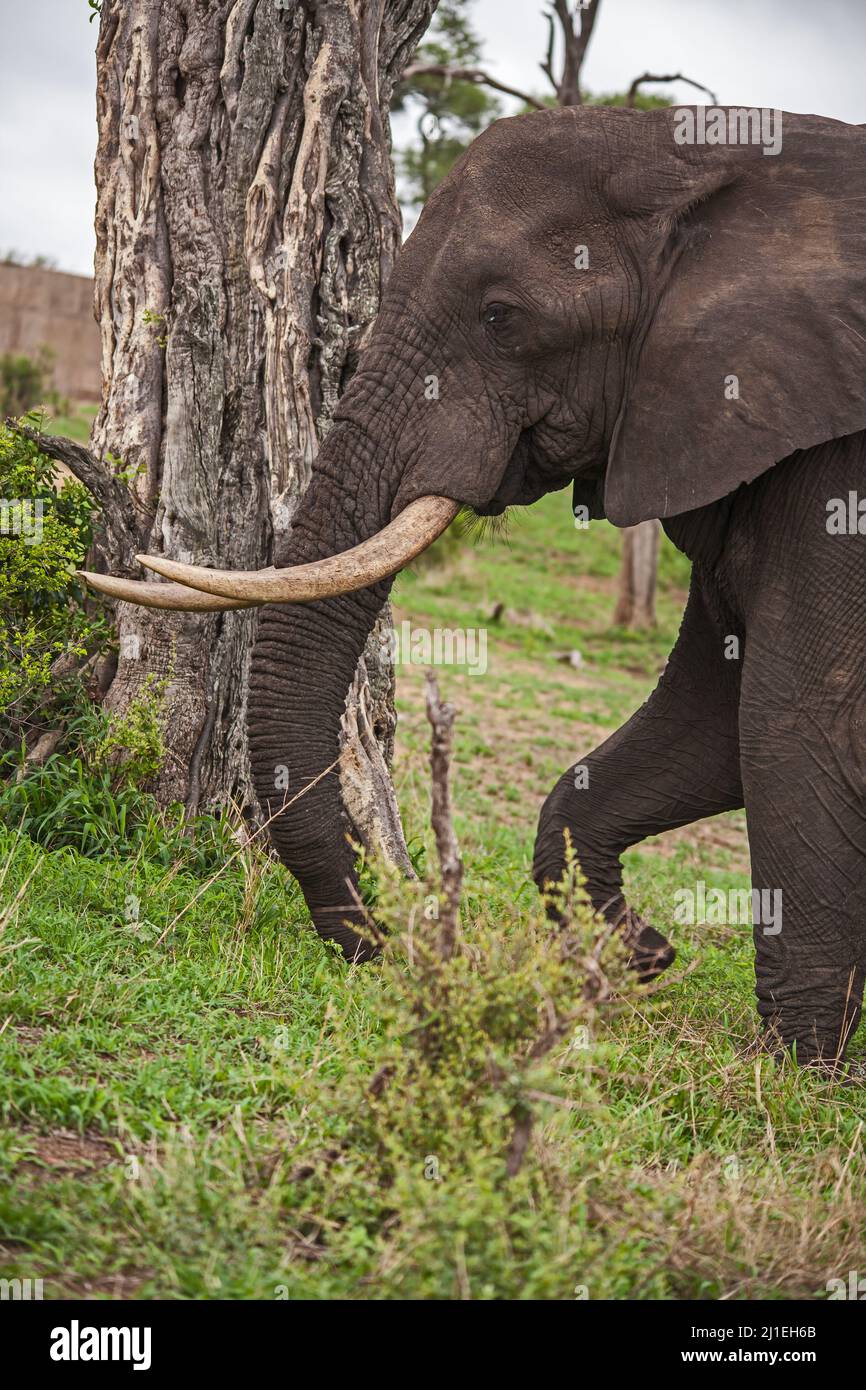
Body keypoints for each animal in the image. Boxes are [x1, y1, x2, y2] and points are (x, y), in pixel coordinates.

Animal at [85, 105, 866, 1067]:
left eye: (502, 318)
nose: (394, 933)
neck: (709, 158)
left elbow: (793, 718)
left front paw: (797, 1068)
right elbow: (715, 717)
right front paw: (634, 953)